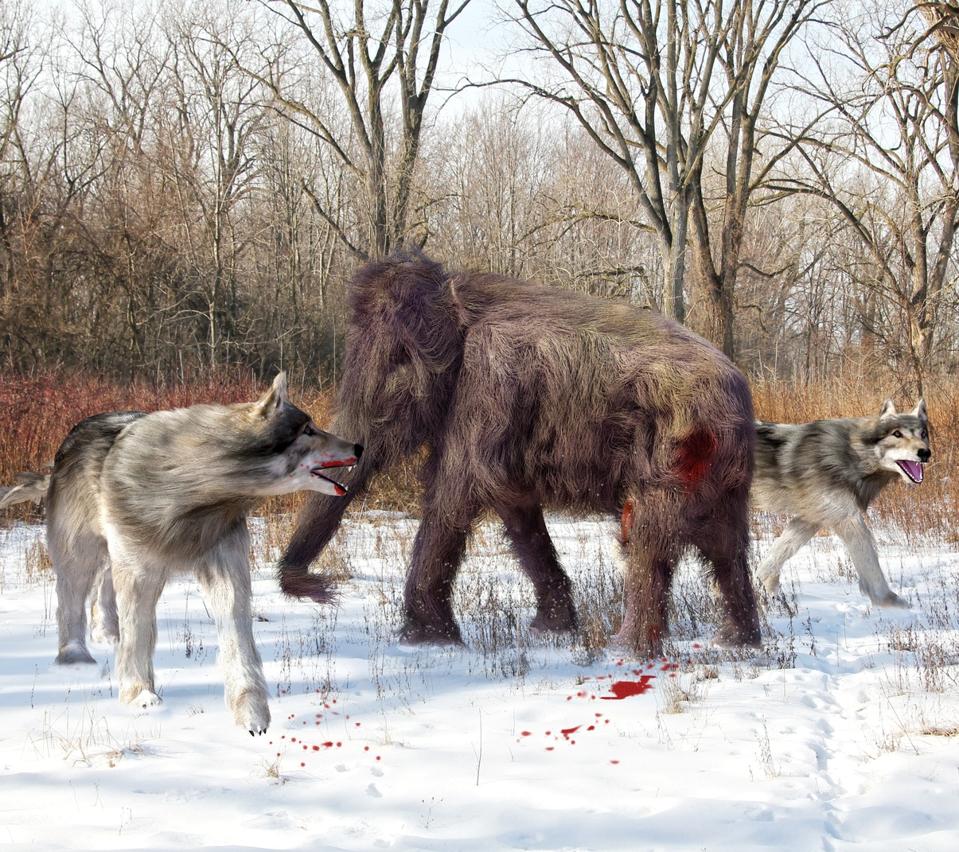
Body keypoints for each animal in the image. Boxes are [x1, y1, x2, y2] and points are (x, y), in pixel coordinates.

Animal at [0, 373, 361, 734]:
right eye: (308, 430)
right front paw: (140, 696)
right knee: (70, 602)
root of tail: (69, 439)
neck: (195, 492)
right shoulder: (140, 572)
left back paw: (108, 633)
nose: (359, 447)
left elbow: (238, 642)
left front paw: (252, 713)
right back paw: (75, 658)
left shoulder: (226, 567)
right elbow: (138, 636)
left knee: (104, 589)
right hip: (81, 554)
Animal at [277, 250, 761, 657]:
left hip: (676, 452)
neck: (456, 295)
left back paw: (626, 652)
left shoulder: (489, 386)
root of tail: (742, 397)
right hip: (721, 472)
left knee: (646, 537)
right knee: (726, 547)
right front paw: (551, 630)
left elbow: (456, 491)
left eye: (395, 365)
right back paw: (736, 643)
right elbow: (514, 504)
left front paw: (427, 640)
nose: (321, 588)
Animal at [753, 399, 930, 606]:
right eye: (897, 434)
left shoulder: (810, 520)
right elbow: (871, 565)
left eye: (923, 434)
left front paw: (764, 590)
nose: (925, 453)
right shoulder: (848, 519)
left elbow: (774, 557)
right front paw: (892, 604)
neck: (851, 455)